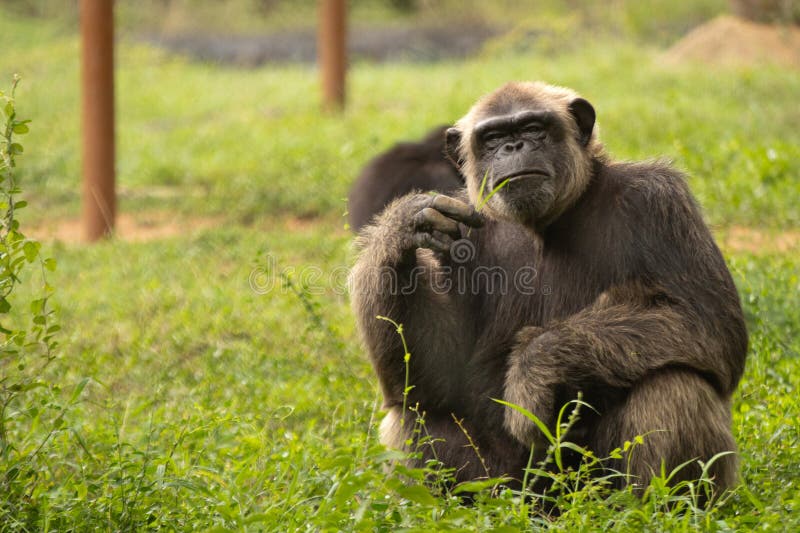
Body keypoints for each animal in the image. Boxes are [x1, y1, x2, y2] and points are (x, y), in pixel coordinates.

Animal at [349, 81, 747, 496]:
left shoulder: (660, 201)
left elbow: (704, 319)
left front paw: (534, 367)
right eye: (493, 138)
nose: (513, 147)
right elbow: (431, 375)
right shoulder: (460, 235)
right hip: (505, 485)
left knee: (674, 383)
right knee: (415, 410)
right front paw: (404, 227)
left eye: (533, 128)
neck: (549, 222)